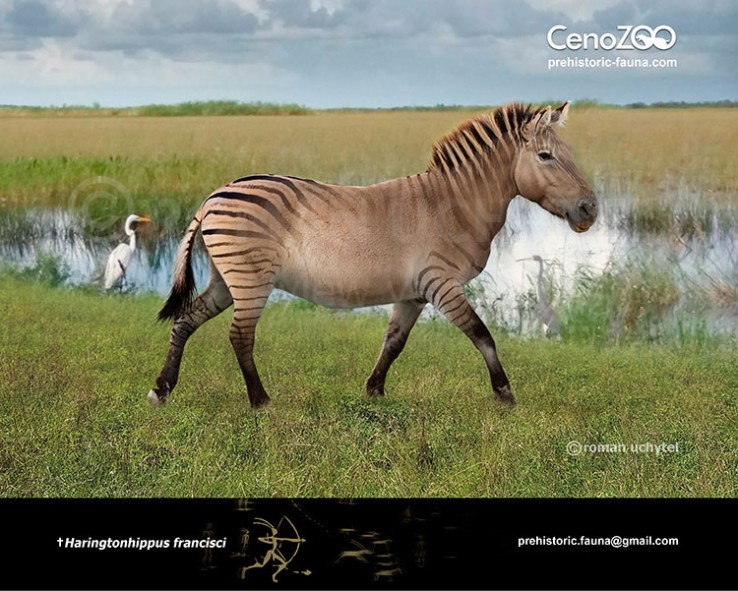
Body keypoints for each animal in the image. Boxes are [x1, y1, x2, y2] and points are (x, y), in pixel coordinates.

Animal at [148, 102, 597, 409]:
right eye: (545, 157)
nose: (591, 210)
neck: (454, 206)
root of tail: (214, 195)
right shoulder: (442, 284)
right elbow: (483, 335)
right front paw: (505, 394)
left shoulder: (415, 293)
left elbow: (393, 343)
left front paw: (374, 392)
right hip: (250, 279)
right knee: (240, 336)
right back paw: (260, 401)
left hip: (227, 281)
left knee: (186, 321)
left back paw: (162, 389)